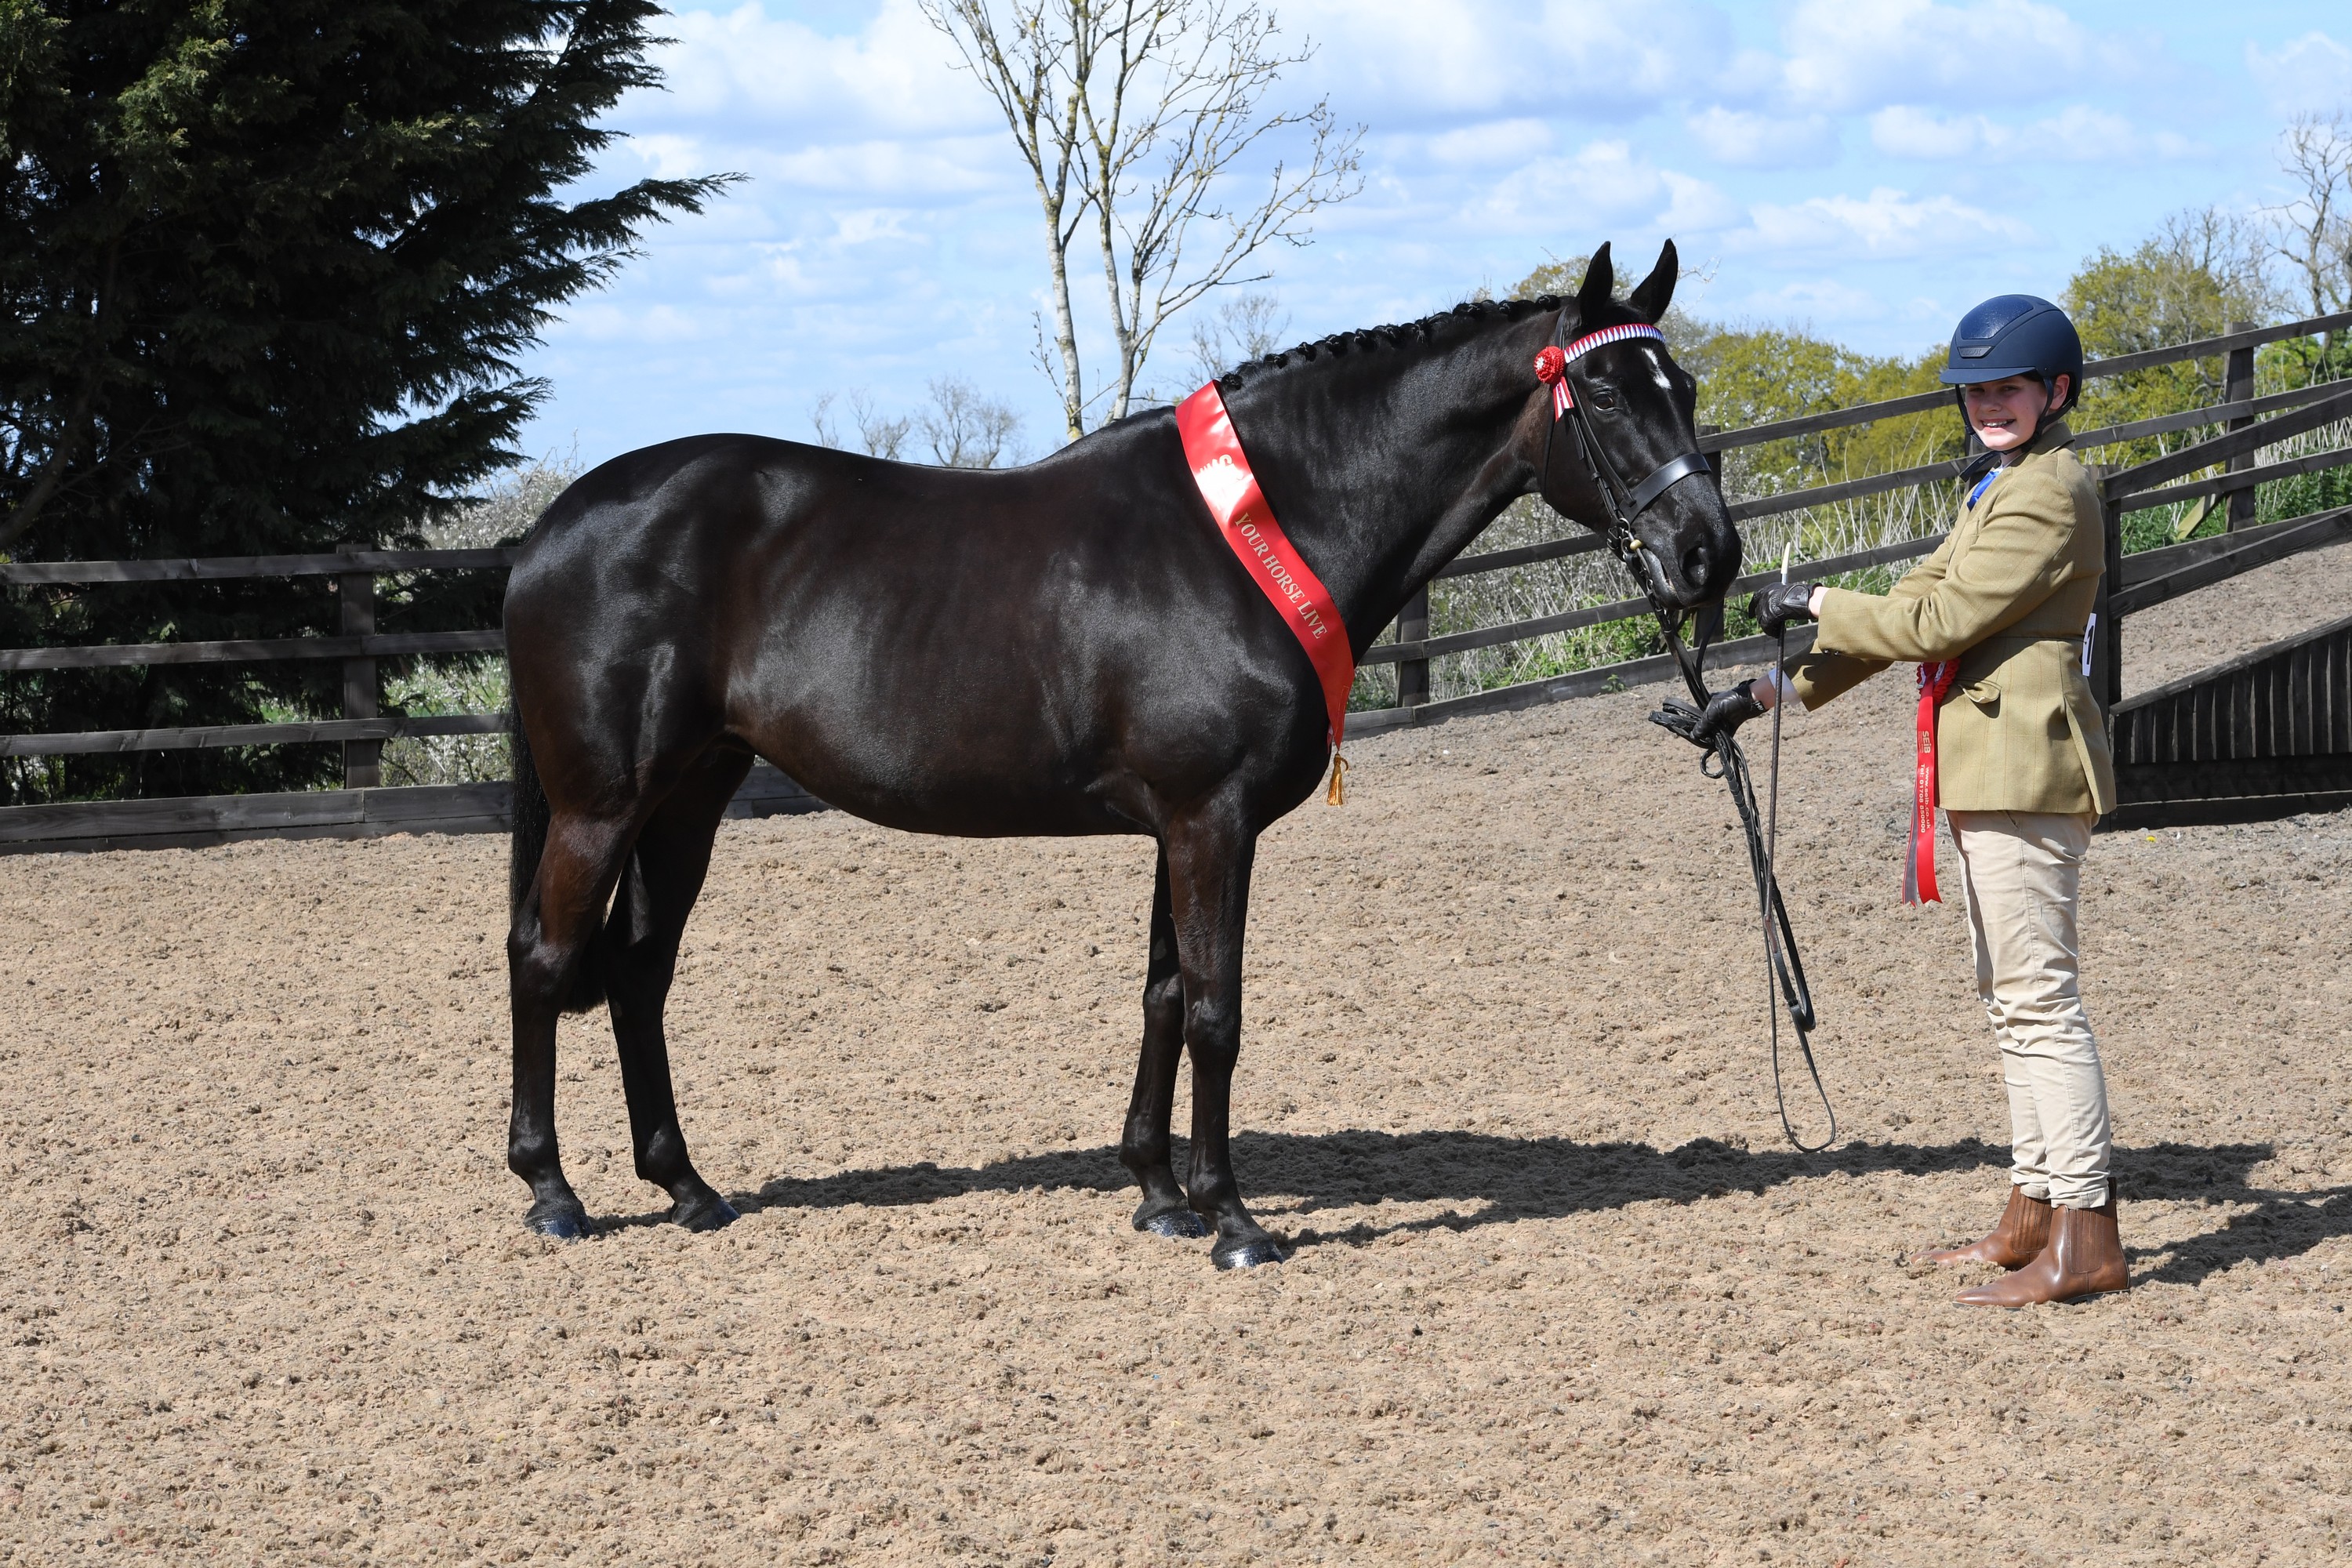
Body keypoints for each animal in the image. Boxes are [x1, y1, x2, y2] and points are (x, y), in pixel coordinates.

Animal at [501, 240, 1738, 1268]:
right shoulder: (1212, 819)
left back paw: (688, 1188)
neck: (1246, 536)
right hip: (603, 806)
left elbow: (1162, 994)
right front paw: (1233, 1220)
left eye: (1684, 389)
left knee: (639, 972)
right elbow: (1215, 1009)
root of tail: (547, 532)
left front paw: (1158, 1192)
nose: (1708, 554)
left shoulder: (1179, 823)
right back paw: (554, 1194)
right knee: (546, 961)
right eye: (1611, 394)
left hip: (688, 799)